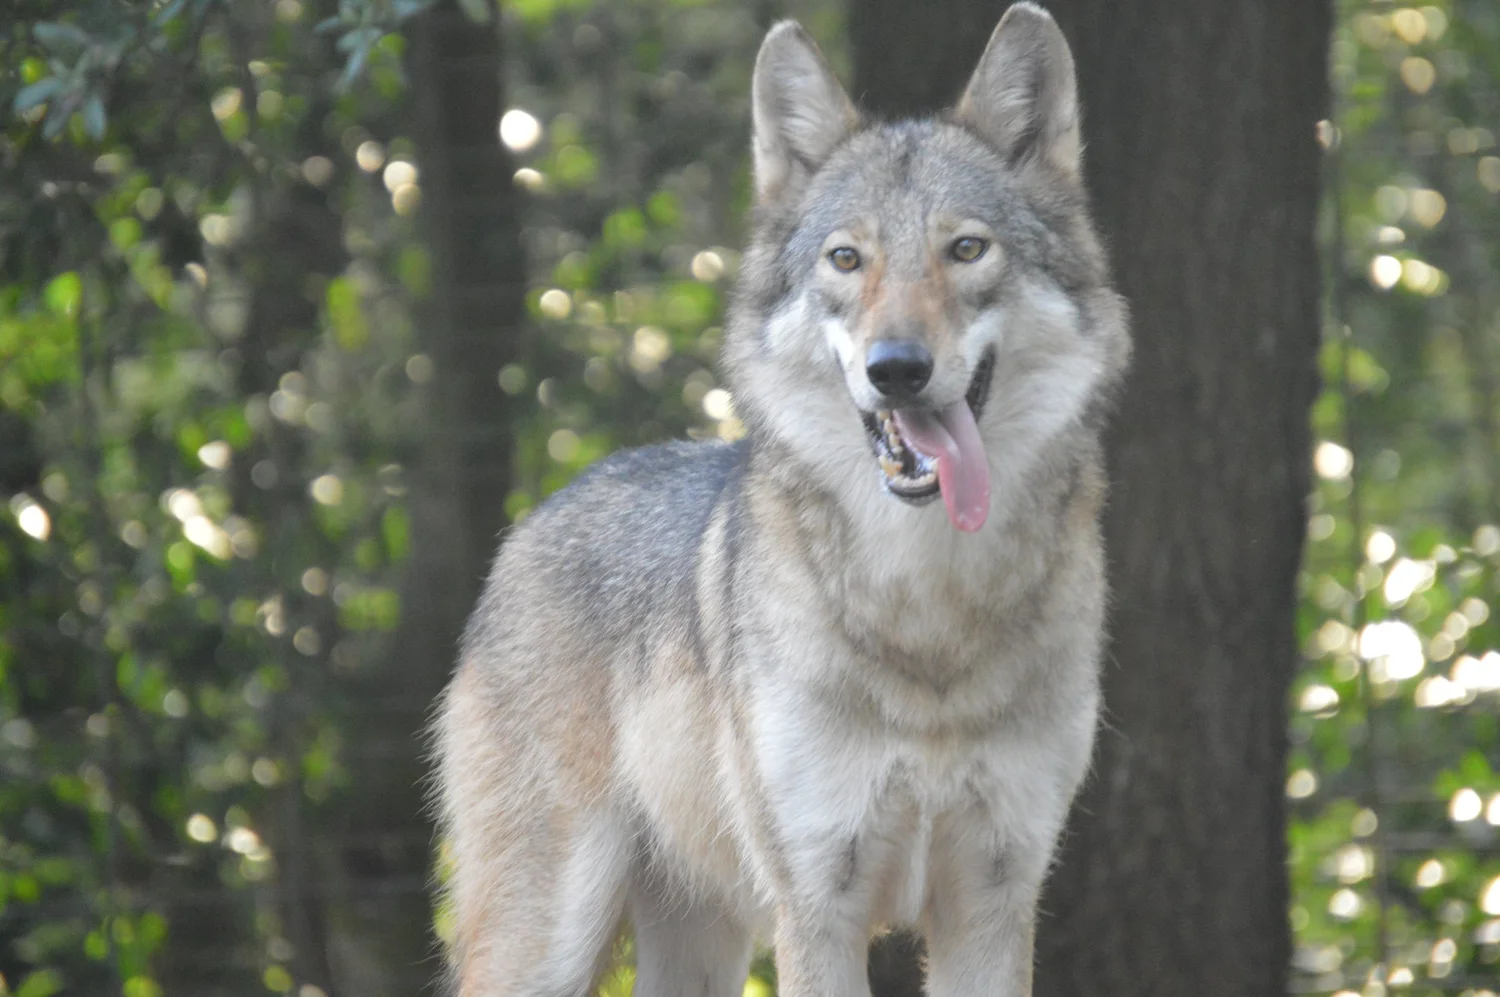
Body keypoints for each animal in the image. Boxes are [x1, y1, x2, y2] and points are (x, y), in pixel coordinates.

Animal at [432, 4, 1130, 995]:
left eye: (966, 248)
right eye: (847, 258)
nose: (897, 367)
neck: (930, 616)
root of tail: (532, 517)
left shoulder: (993, 907)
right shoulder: (818, 908)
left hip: (697, 946)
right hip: (547, 944)